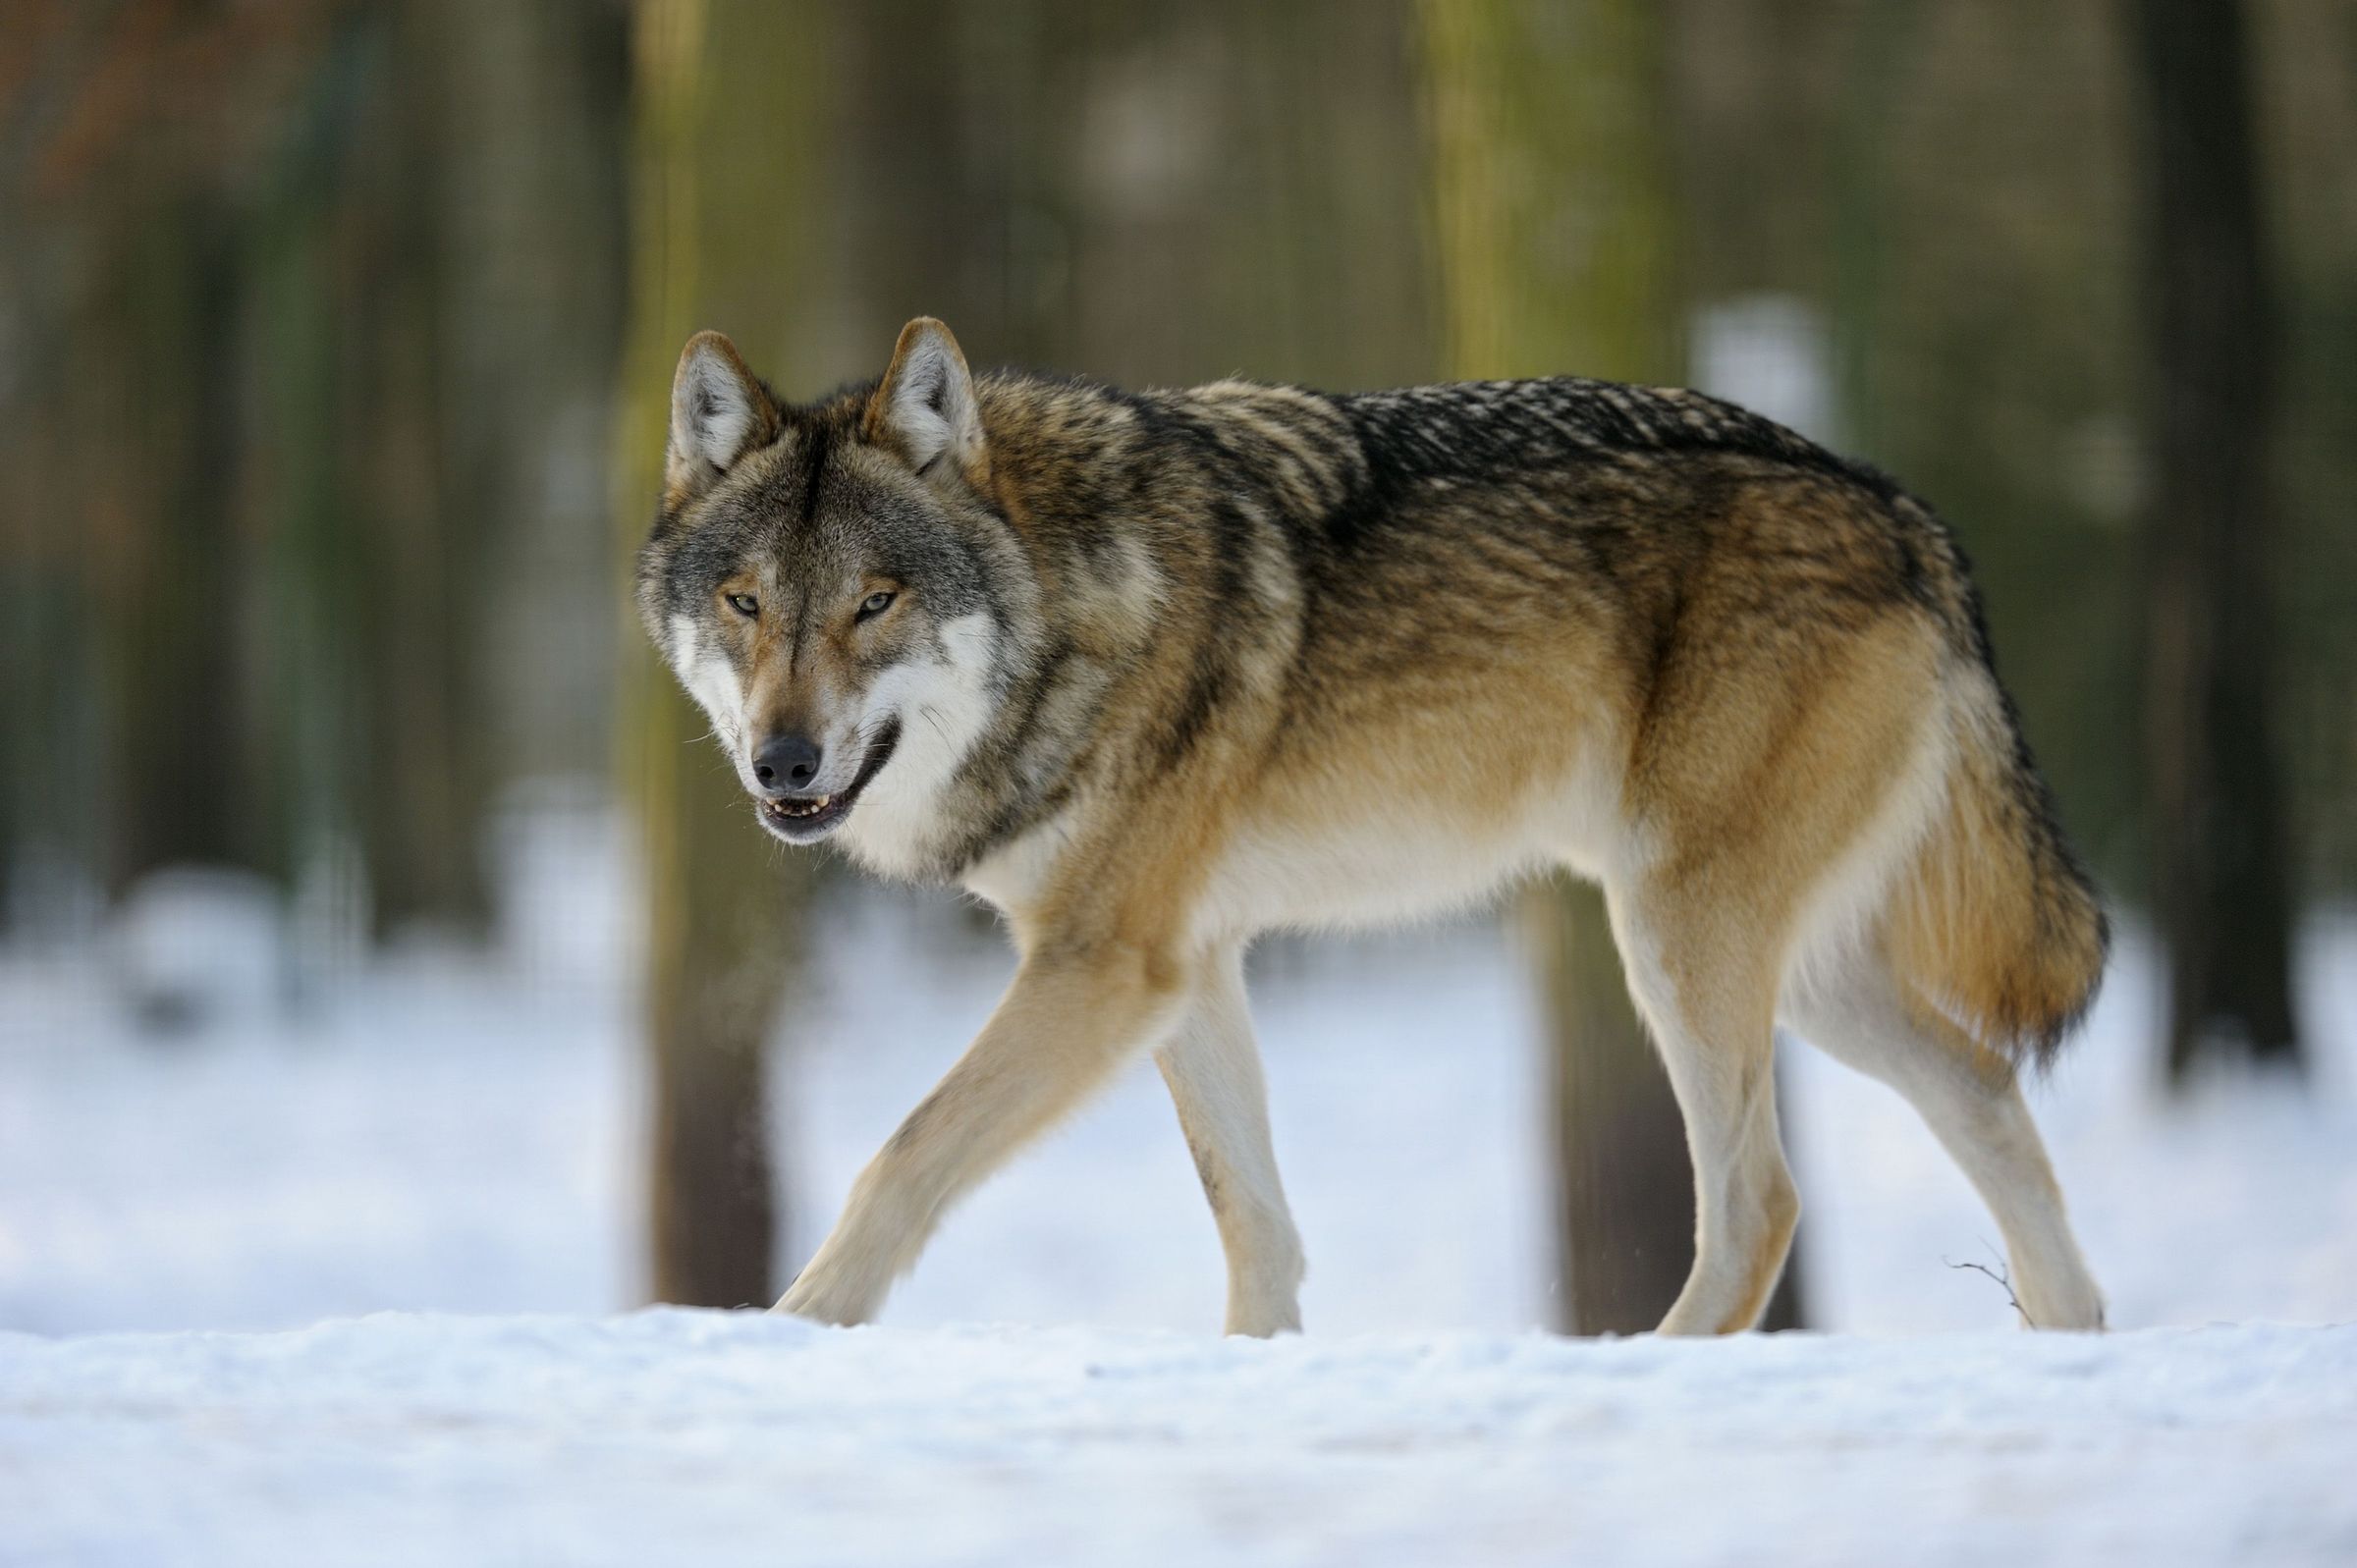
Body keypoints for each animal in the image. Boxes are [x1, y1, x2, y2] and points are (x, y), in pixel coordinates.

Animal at [638, 317, 2110, 1336]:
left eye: (874, 602)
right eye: (747, 604)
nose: (782, 761)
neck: (1076, 594)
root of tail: (1903, 511)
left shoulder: (1104, 967)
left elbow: (897, 1164)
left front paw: (787, 1341)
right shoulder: (1185, 968)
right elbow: (1258, 1226)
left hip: (1678, 943)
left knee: (1763, 1205)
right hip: (1798, 973)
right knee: (1987, 1087)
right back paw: (2072, 1343)